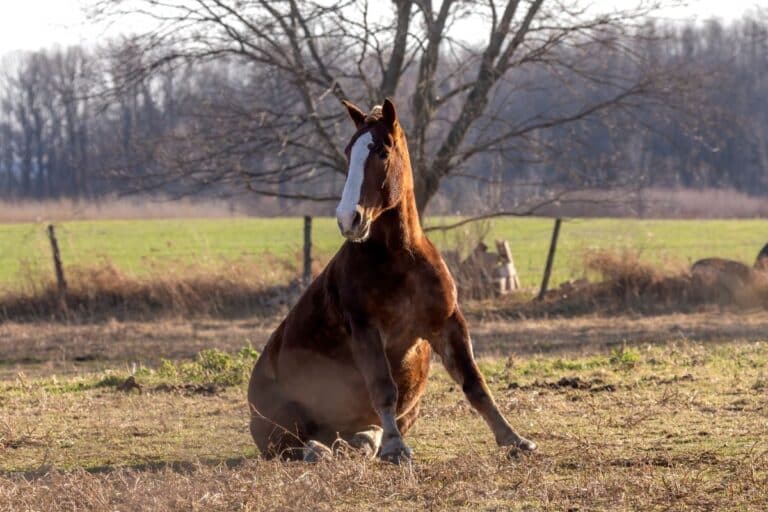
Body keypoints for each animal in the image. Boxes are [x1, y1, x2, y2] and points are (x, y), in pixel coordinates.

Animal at [247, 98, 536, 463]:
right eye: (349, 151)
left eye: (382, 152)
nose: (348, 219)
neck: (402, 259)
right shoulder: (366, 329)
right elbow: (383, 387)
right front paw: (397, 448)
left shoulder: (448, 322)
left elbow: (474, 383)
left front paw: (514, 439)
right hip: (281, 426)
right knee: (294, 445)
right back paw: (323, 450)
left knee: (358, 434)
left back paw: (359, 442)